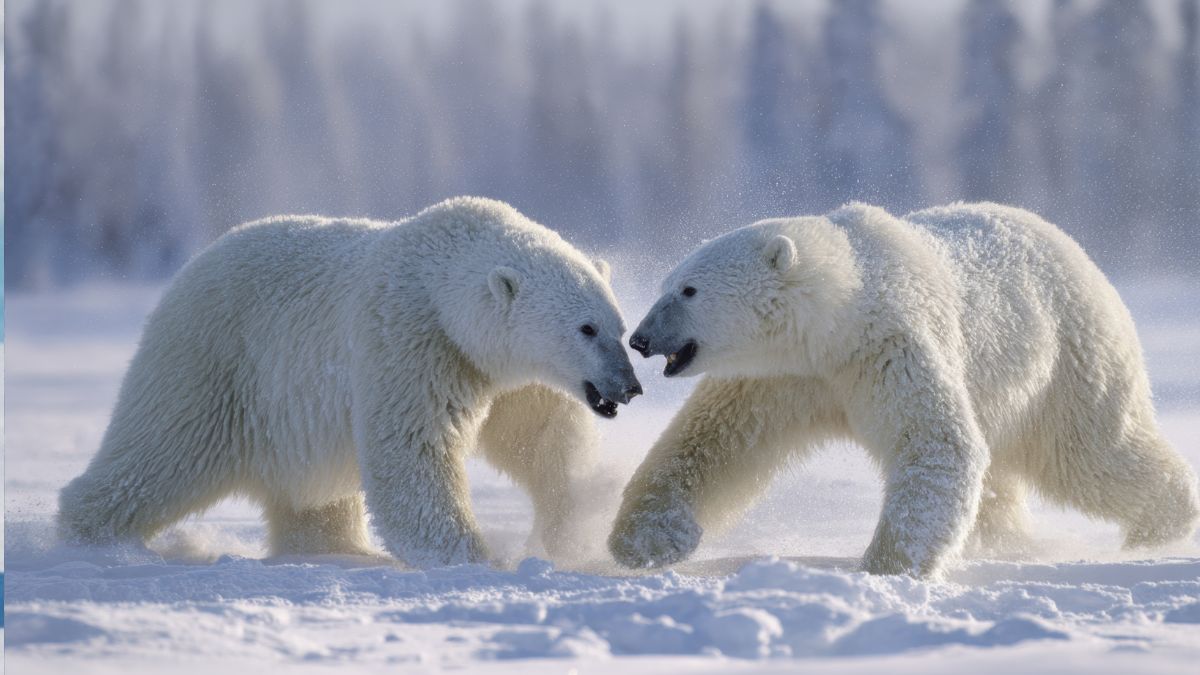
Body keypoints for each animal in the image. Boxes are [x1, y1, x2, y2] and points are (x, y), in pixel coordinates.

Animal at [58, 196, 642, 567]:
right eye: (586, 328)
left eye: (619, 327)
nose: (629, 387)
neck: (440, 284)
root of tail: (187, 271)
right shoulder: (409, 341)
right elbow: (412, 452)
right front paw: (473, 555)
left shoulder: (504, 373)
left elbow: (538, 441)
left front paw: (573, 522)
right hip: (213, 359)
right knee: (164, 448)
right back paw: (92, 535)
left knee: (314, 492)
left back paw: (342, 549)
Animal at [608, 201, 1200, 577]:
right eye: (667, 284)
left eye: (688, 290)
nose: (639, 338)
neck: (840, 314)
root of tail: (1074, 247)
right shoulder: (783, 374)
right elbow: (716, 440)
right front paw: (647, 542)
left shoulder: (891, 346)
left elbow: (936, 441)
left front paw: (884, 568)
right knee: (1005, 477)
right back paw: (1003, 539)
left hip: (1068, 355)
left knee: (1091, 451)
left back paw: (1163, 525)